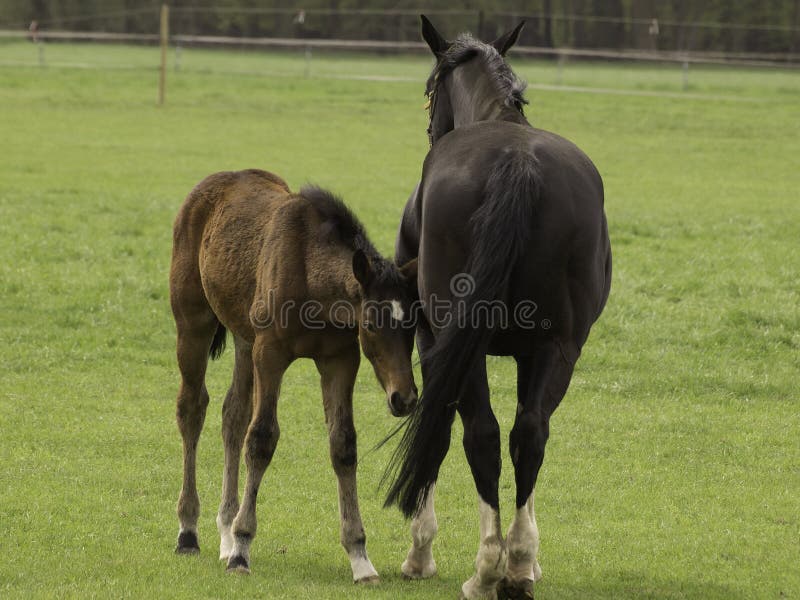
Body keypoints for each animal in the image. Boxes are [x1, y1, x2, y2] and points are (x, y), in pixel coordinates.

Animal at [169, 169, 418, 583]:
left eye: (414, 324)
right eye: (371, 323)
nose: (405, 398)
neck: (312, 276)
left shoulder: (339, 359)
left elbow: (343, 445)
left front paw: (359, 556)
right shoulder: (270, 353)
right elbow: (262, 439)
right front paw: (242, 547)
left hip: (243, 338)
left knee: (233, 415)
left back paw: (224, 532)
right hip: (194, 323)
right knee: (192, 408)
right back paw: (189, 531)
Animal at [386, 17, 612, 599]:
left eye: (428, 93)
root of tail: (519, 161)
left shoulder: (431, 339)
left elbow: (438, 429)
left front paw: (420, 551)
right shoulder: (536, 352)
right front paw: (525, 559)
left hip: (459, 337)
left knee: (482, 435)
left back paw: (487, 569)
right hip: (559, 347)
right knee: (529, 433)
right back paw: (518, 565)